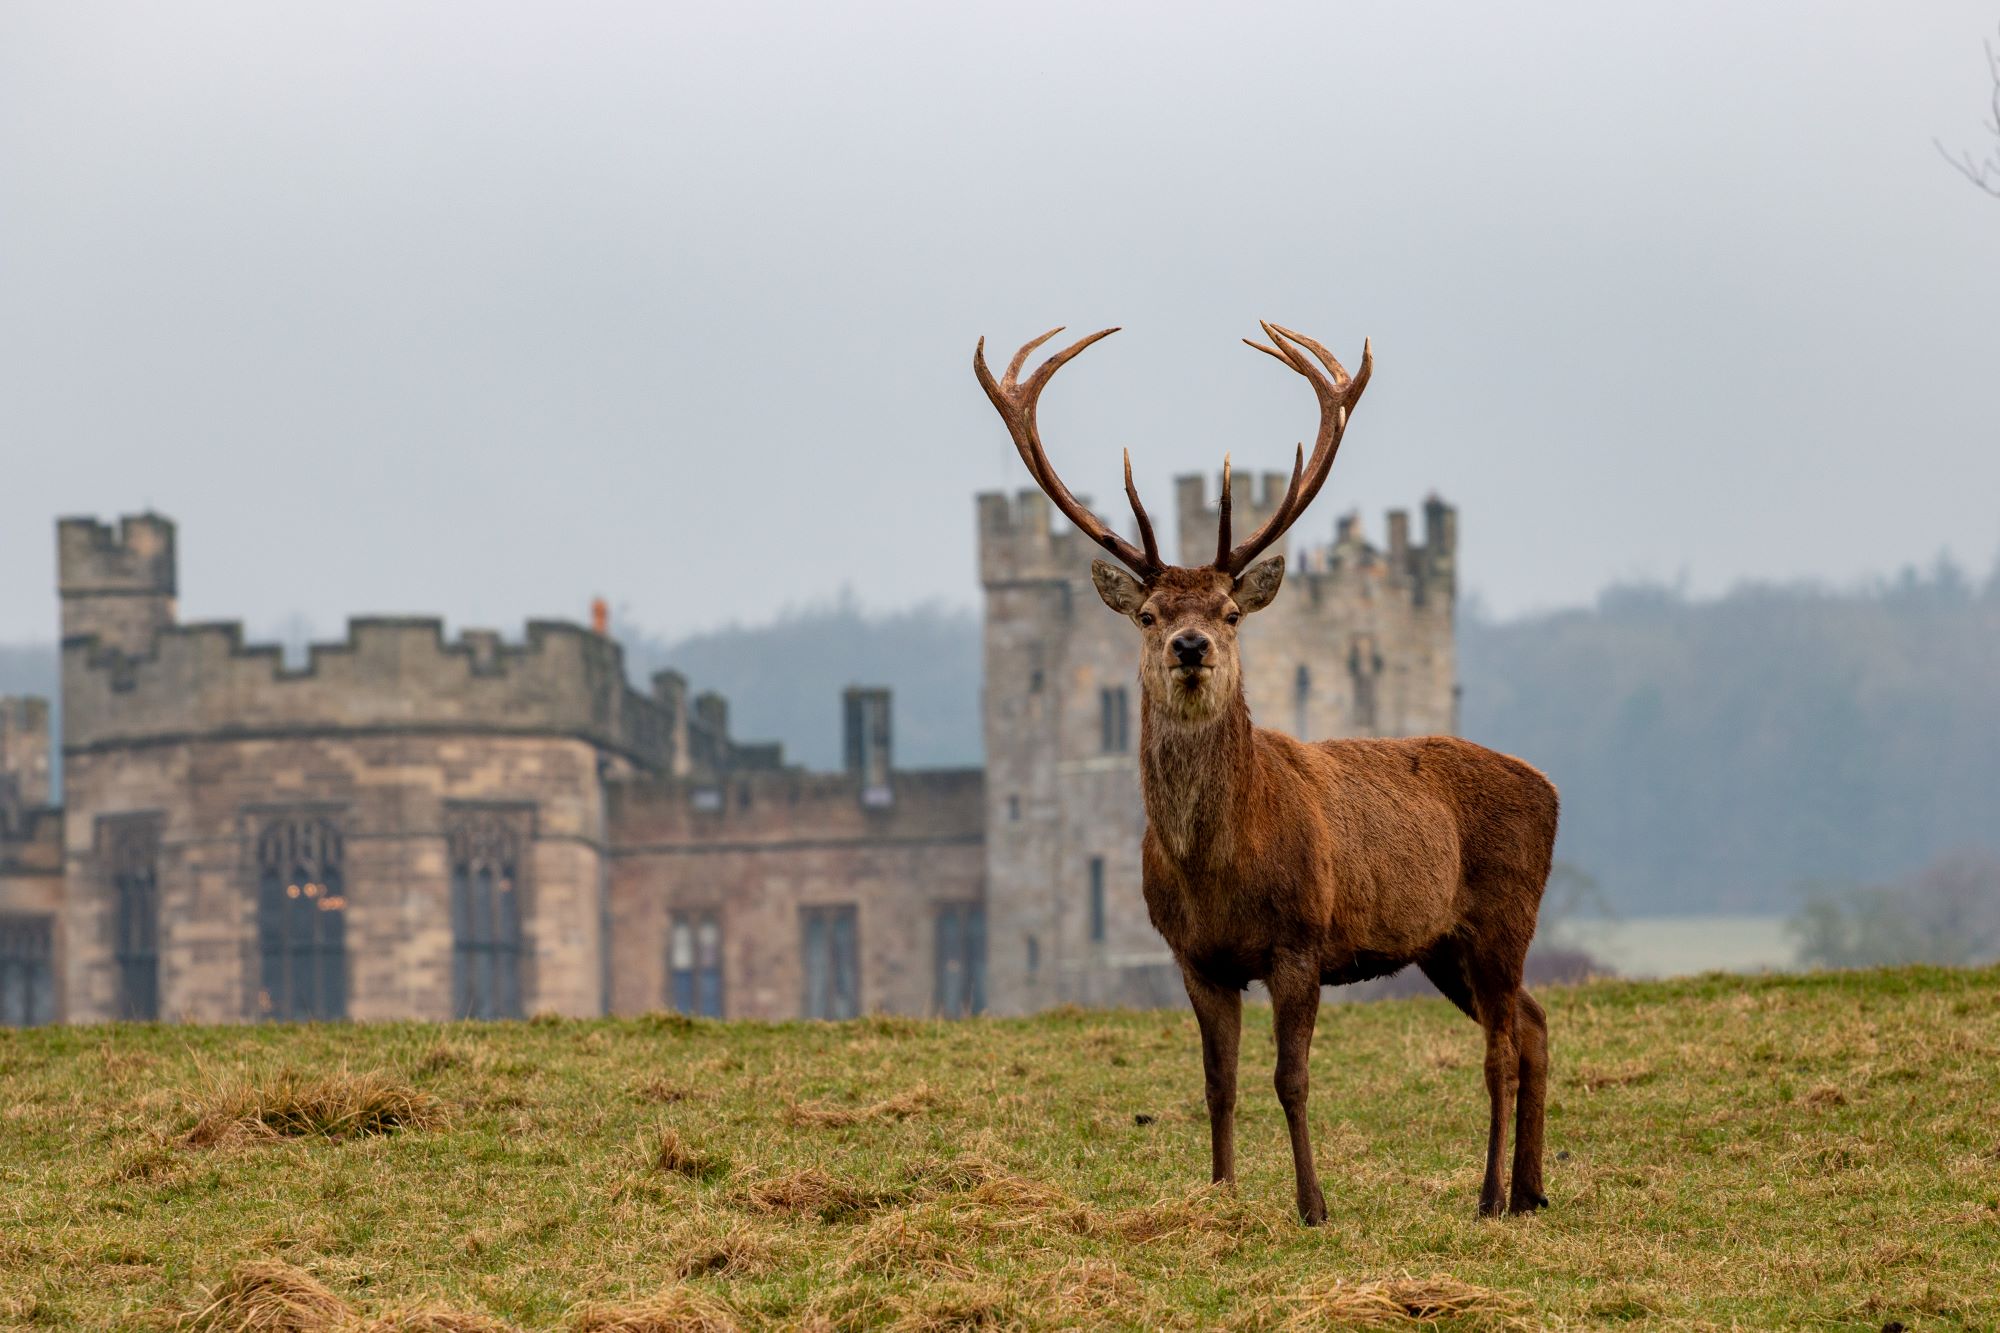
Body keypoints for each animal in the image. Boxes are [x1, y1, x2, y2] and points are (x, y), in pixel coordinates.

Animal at [974, 322, 1560, 1224]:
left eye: (1229, 611)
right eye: (1149, 614)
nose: (1190, 646)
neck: (1215, 867)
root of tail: (1552, 788)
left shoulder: (1300, 939)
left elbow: (1292, 1078)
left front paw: (1313, 1203)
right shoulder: (1196, 956)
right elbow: (1217, 1082)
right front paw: (1219, 1193)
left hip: (1502, 916)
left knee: (1499, 1045)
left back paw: (1490, 1194)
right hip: (1442, 944)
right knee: (1532, 1022)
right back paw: (1530, 1189)